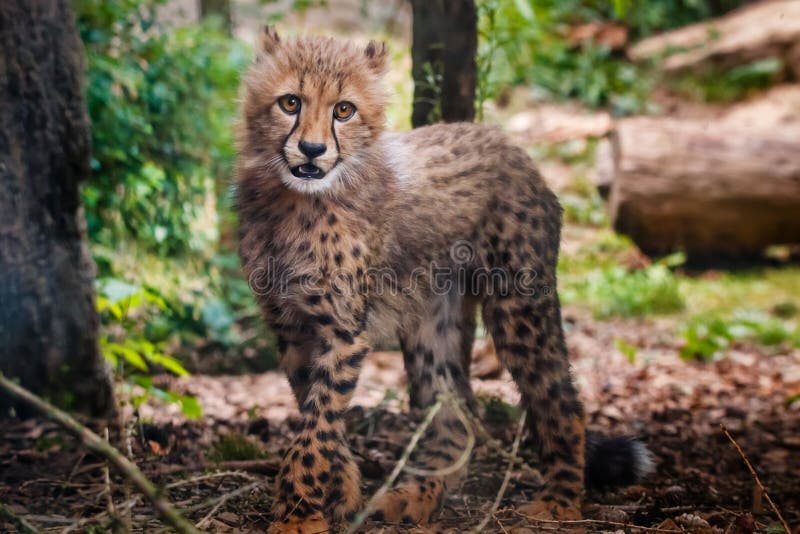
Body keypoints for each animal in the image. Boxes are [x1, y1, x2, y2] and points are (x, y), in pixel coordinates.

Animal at [235, 27, 654, 533]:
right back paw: (411, 498)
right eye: (290, 102)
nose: (313, 151)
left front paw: (298, 516)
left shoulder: (342, 332)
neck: (296, 200)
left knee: (561, 400)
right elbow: (317, 416)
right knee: (457, 417)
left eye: (344, 110)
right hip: (431, 325)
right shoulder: (293, 329)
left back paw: (558, 503)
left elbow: (315, 430)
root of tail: (504, 140)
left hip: (519, 304)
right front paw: (342, 493)